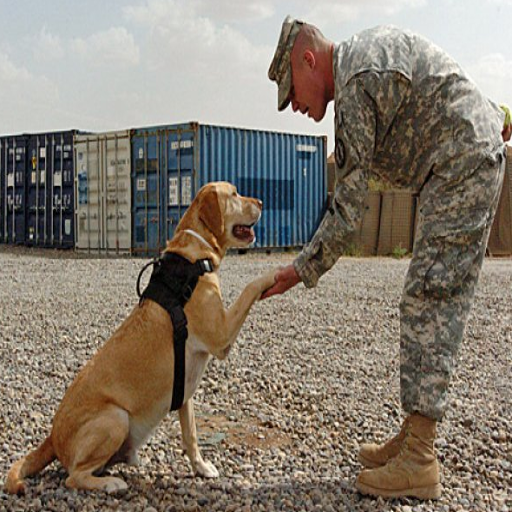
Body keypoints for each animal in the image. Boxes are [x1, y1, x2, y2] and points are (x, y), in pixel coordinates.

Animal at [5, 182, 276, 494]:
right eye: (233, 194)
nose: (261, 201)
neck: (194, 257)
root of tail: (52, 437)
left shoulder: (185, 391)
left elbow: (191, 435)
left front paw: (201, 467)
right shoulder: (220, 335)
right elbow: (250, 287)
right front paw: (275, 274)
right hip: (115, 417)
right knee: (74, 475)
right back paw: (111, 483)